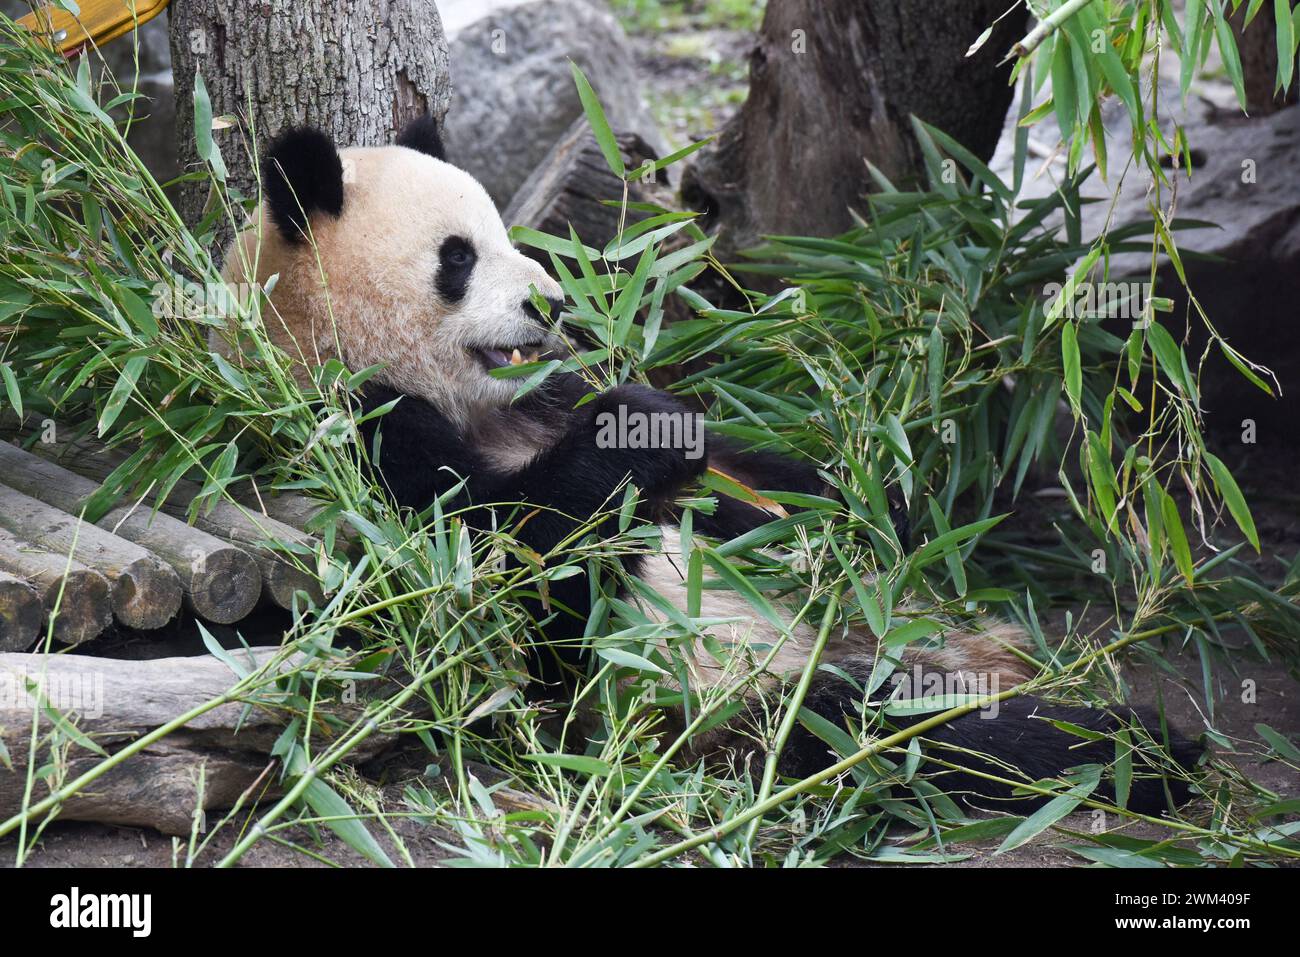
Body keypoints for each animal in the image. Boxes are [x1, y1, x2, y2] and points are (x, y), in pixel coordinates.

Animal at [219, 116, 1200, 815]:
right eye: (457, 259)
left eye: (505, 234)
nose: (552, 301)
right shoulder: (358, 437)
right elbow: (505, 559)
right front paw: (641, 437)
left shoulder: (550, 390)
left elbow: (755, 470)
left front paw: (854, 504)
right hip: (751, 695)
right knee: (892, 729)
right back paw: (1130, 746)